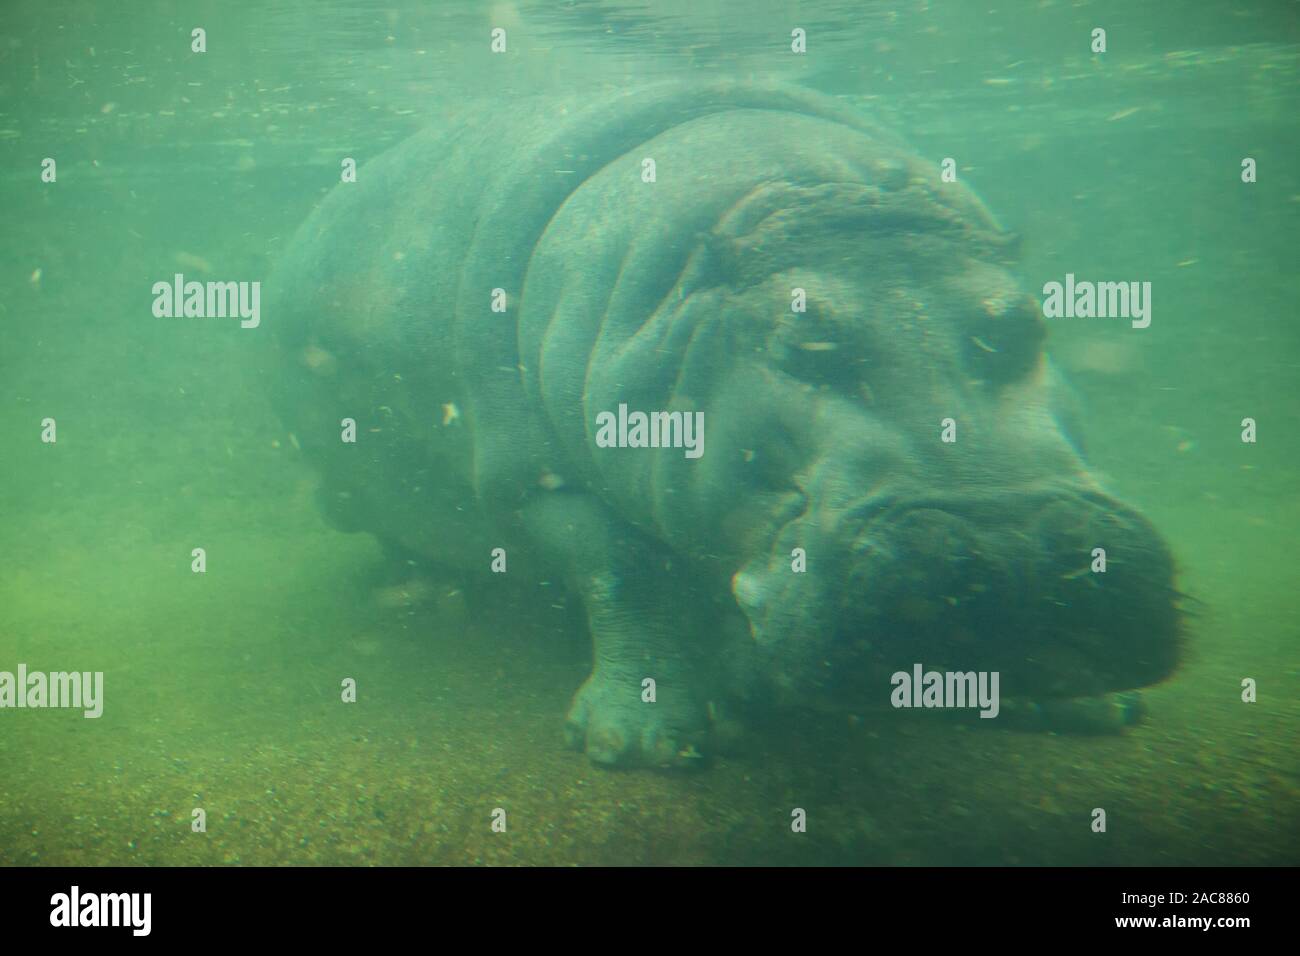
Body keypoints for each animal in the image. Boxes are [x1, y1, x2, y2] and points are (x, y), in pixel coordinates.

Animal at [268, 81, 1181, 767]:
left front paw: (1092, 709)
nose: (1014, 554)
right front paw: (641, 746)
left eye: (1025, 325)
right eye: (802, 340)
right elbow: (620, 573)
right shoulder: (534, 479)